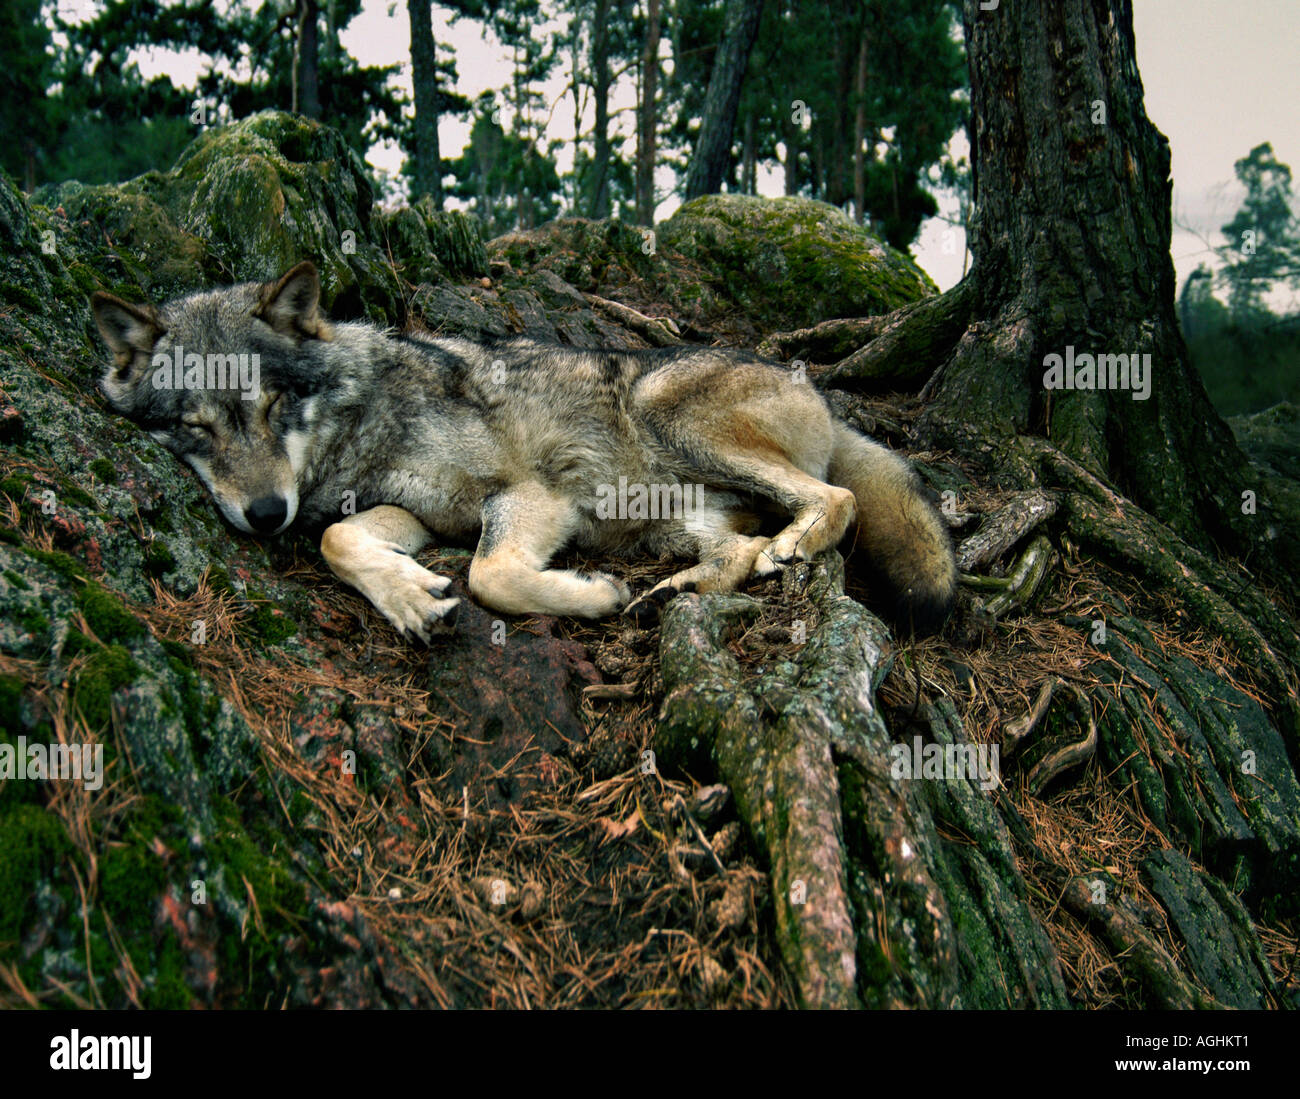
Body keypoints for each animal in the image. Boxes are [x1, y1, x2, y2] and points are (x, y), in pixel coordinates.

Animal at [90, 262, 957, 642]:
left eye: (273, 406)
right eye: (196, 428)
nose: (267, 514)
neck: (364, 416)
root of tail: (816, 388)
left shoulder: (527, 496)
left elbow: (492, 575)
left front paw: (590, 597)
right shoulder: (416, 514)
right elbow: (340, 539)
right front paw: (410, 597)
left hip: (663, 418)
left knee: (834, 500)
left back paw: (781, 548)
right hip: (667, 515)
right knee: (735, 552)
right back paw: (671, 592)